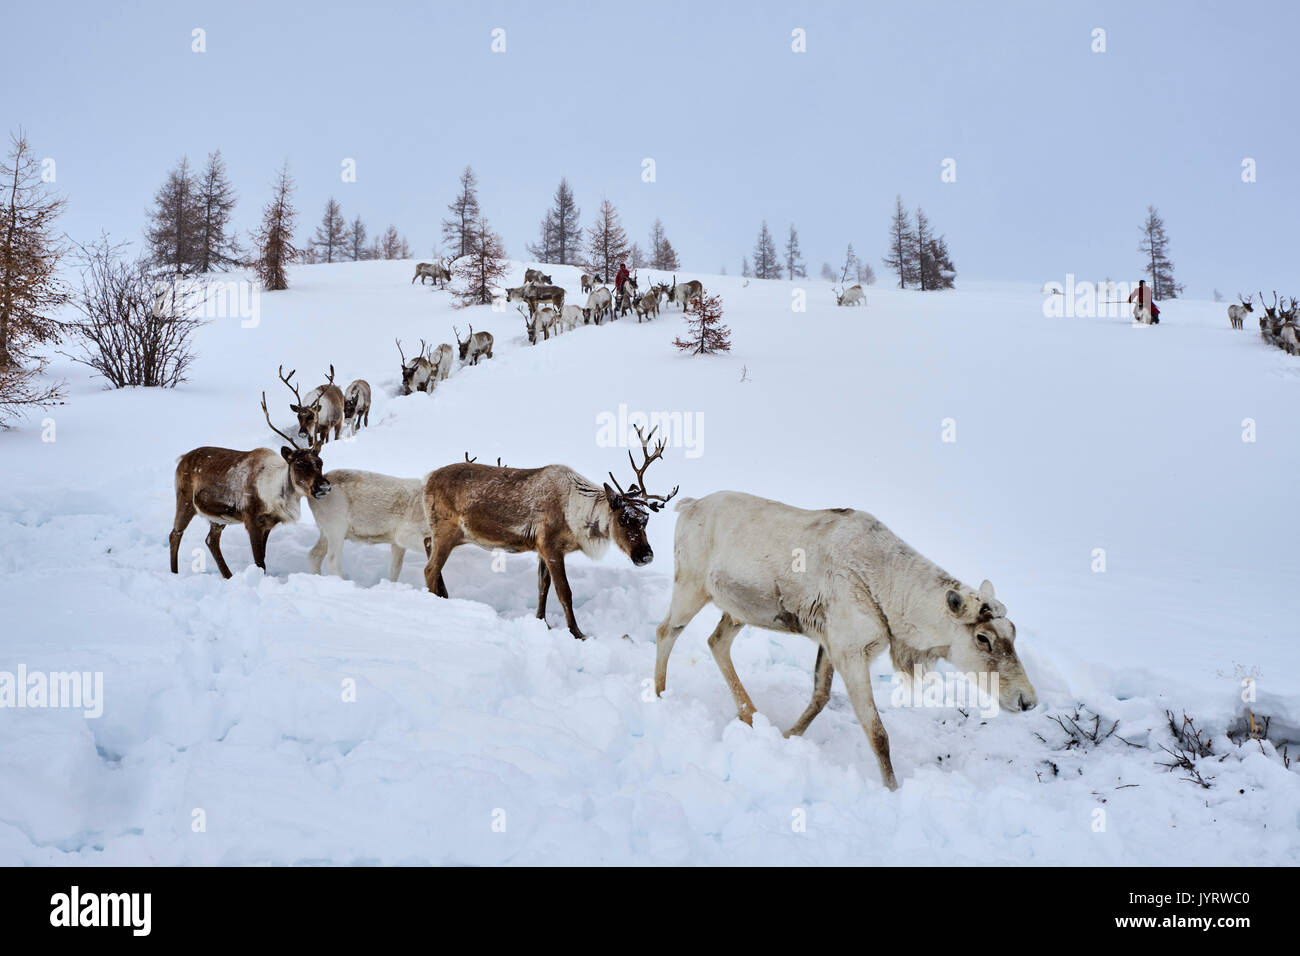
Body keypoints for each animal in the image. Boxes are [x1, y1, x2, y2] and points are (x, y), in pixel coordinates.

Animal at [169, 391, 330, 579]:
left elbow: (263, 559)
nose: (324, 486)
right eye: (299, 464)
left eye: (320, 462)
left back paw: (228, 576)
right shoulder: (251, 519)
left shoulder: (268, 524)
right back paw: (174, 573)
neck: (278, 493)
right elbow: (259, 562)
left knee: (211, 540)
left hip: (218, 517)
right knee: (175, 534)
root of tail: (181, 458)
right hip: (185, 500)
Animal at [422, 425, 678, 639]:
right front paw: (578, 633)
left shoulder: (542, 548)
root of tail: (427, 478)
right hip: (446, 529)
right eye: (624, 520)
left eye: (645, 520)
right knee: (430, 569)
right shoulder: (551, 545)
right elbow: (564, 592)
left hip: (447, 533)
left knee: (428, 548)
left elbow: (542, 587)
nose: (646, 556)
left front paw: (542, 622)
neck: (576, 515)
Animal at [654, 491, 1038, 791]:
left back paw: (749, 716)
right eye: (982, 638)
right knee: (666, 631)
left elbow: (820, 697)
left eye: (1013, 630)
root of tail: (687, 505)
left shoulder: (831, 643)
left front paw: (787, 736)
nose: (1027, 701)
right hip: (690, 585)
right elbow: (877, 732)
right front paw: (892, 789)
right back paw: (659, 695)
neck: (894, 604)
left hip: (738, 611)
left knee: (716, 641)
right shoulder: (850, 649)